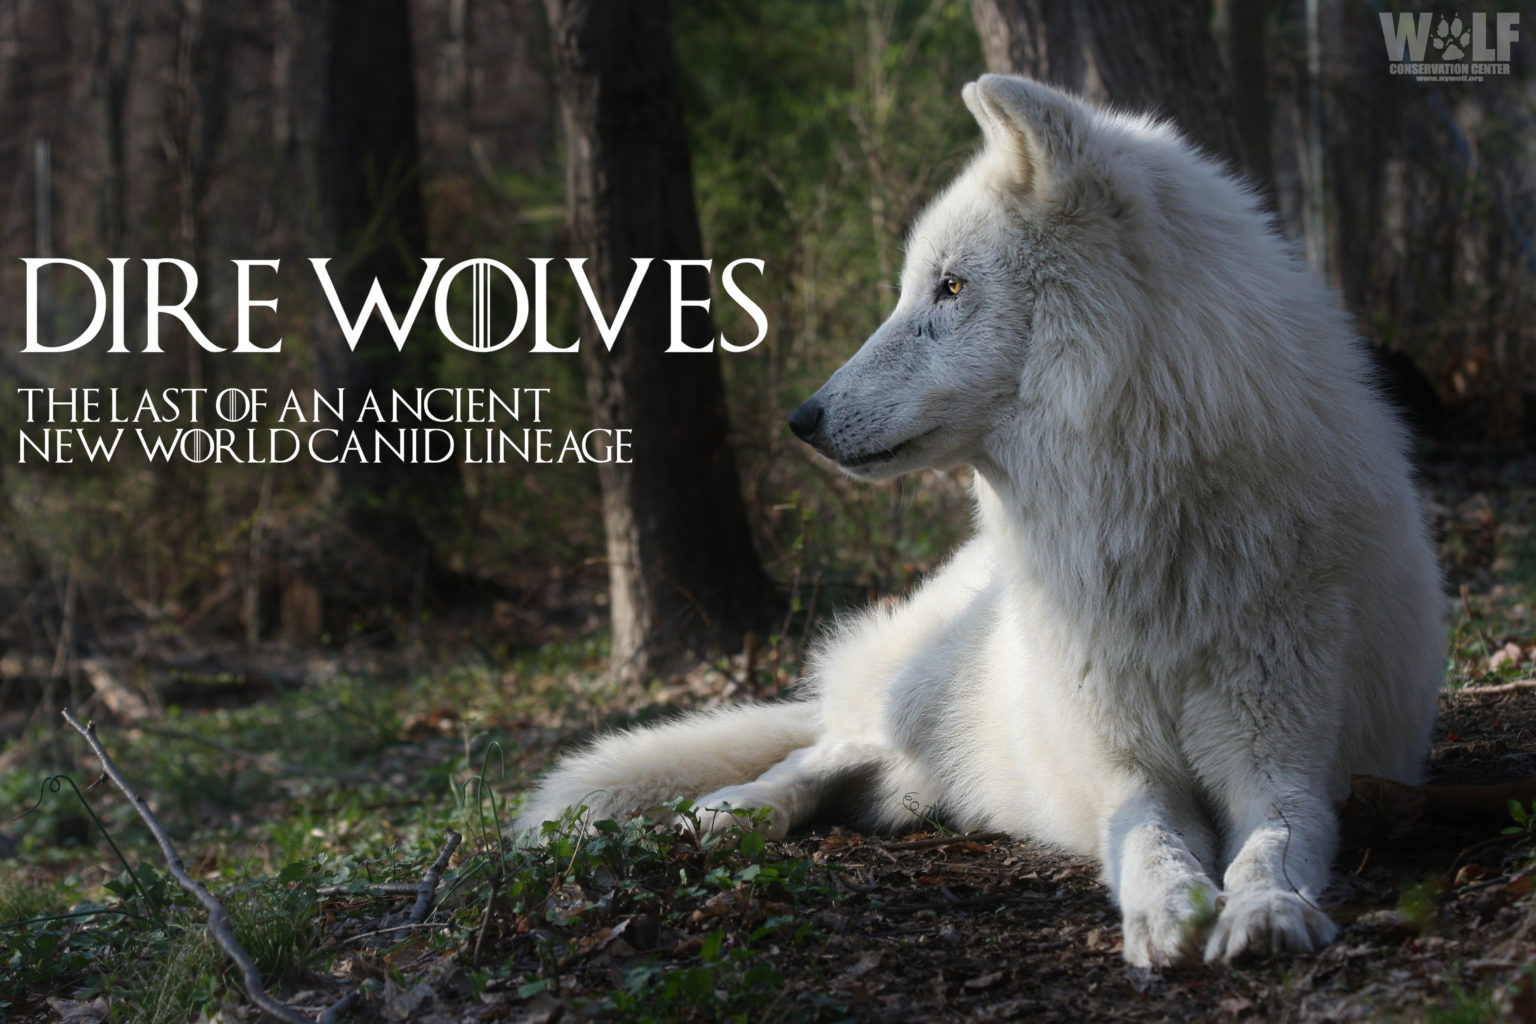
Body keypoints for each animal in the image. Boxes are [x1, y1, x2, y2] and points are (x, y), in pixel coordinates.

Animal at [515, 75, 1445, 967]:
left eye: (952, 286)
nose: (803, 419)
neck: (1153, 524)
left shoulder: (1289, 763)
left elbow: (1273, 842)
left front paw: (1263, 911)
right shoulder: (1125, 769)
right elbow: (1148, 841)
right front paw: (1168, 912)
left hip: (925, 768)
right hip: (914, 693)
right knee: (815, 750)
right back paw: (728, 809)